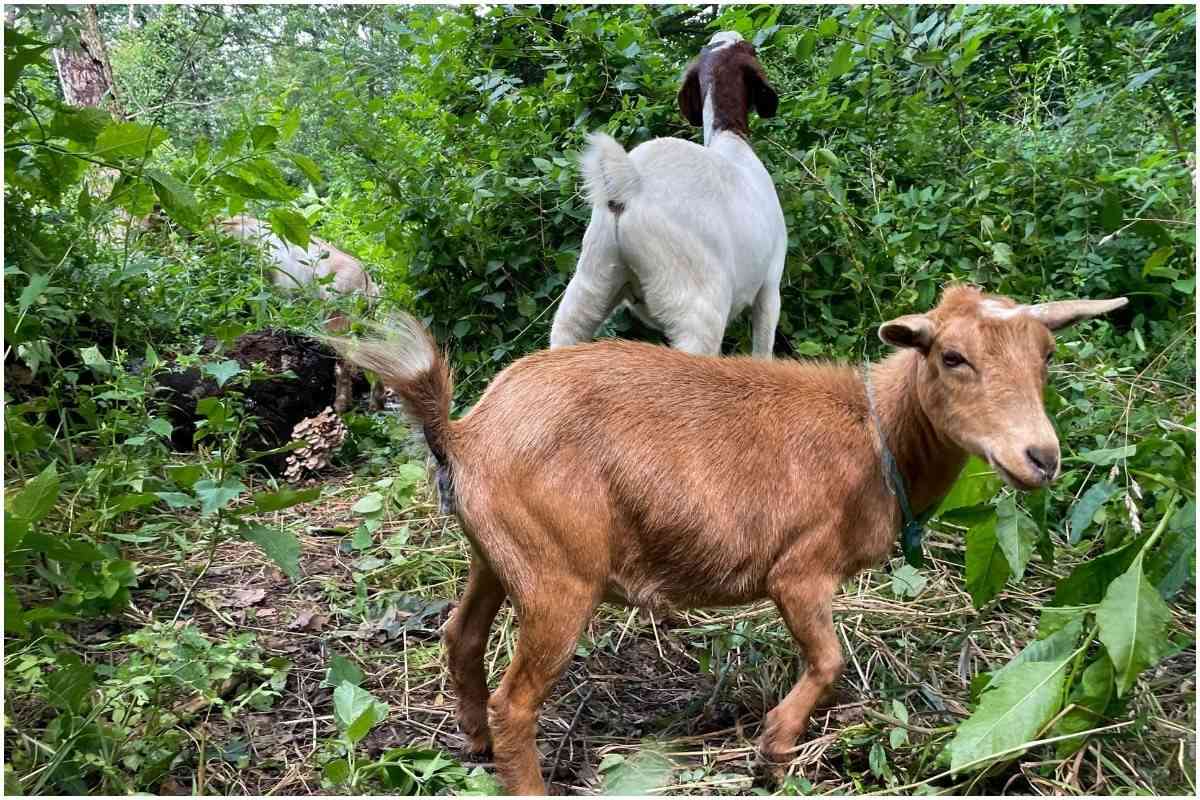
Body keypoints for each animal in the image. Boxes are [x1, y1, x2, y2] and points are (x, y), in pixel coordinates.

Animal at [219, 215, 385, 413]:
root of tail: (367, 284)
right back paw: (376, 404)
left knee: (344, 363)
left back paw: (341, 405)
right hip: (365, 323)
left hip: (337, 322)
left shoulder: (284, 286)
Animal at [330, 285, 1126, 794]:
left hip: (498, 554)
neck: (877, 435)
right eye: (952, 357)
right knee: (515, 701)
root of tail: (464, 433)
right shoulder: (800, 571)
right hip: (559, 577)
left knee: (461, 638)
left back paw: (473, 742)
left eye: (1046, 355)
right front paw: (774, 745)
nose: (1041, 457)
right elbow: (830, 658)